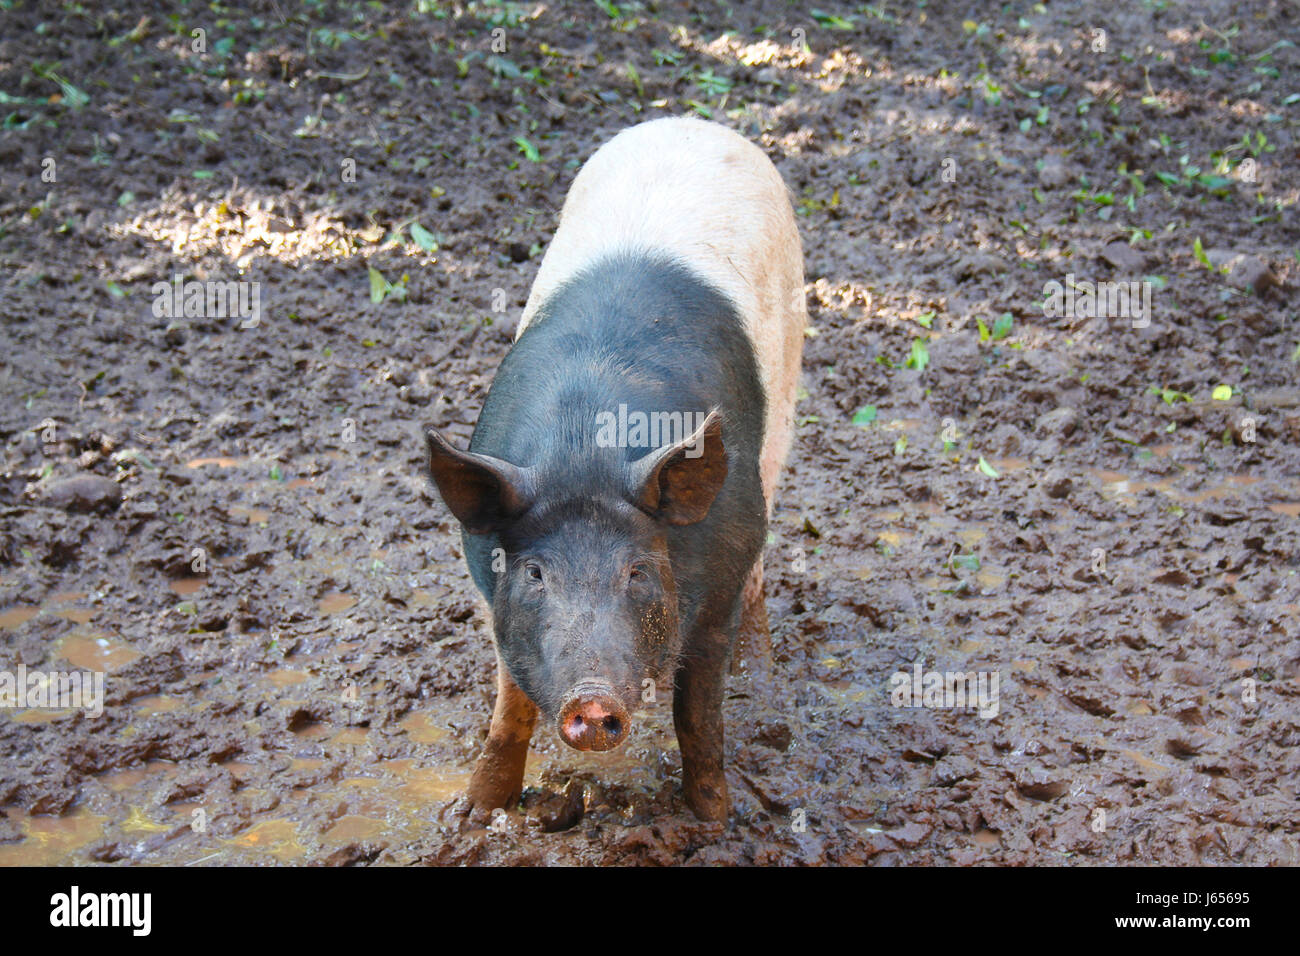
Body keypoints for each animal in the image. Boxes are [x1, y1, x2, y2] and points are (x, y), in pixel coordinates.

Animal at [423, 116, 805, 822]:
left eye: (638, 571)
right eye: (536, 572)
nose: (592, 699)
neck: (585, 456)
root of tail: (691, 121)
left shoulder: (720, 573)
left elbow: (698, 713)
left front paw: (716, 819)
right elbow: (510, 707)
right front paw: (473, 814)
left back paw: (759, 679)